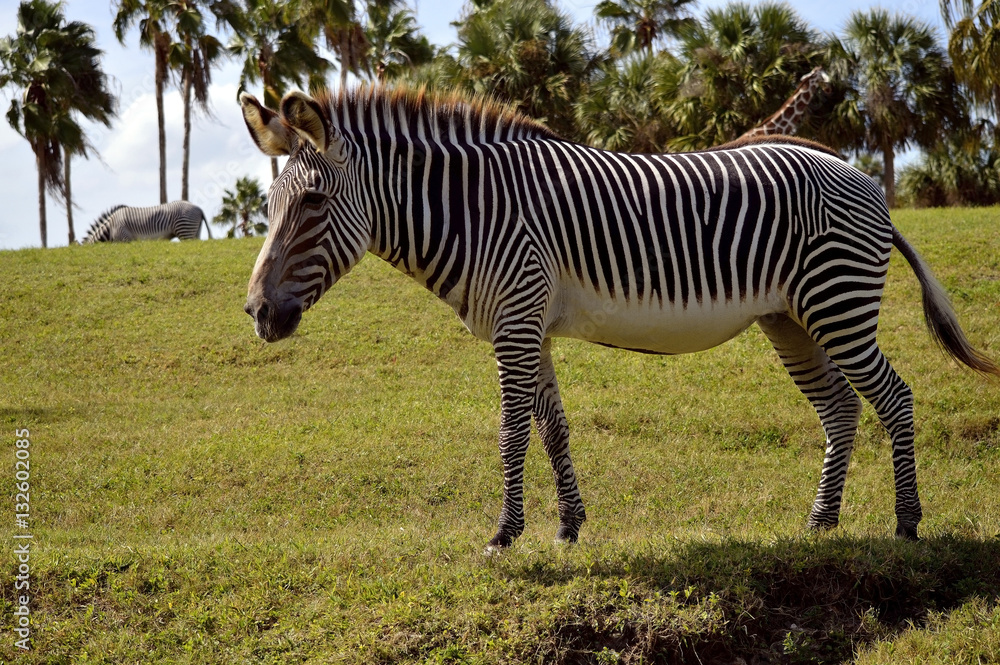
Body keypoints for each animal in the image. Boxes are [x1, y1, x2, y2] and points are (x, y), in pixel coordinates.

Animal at [238, 86, 1000, 549]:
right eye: (268, 206)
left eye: (312, 206)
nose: (256, 312)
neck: (473, 211)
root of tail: (862, 178)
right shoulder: (532, 324)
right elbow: (552, 428)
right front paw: (569, 527)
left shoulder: (516, 320)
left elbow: (511, 432)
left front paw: (504, 534)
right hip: (791, 318)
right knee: (841, 408)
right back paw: (821, 521)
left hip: (838, 303)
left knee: (895, 398)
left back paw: (907, 523)